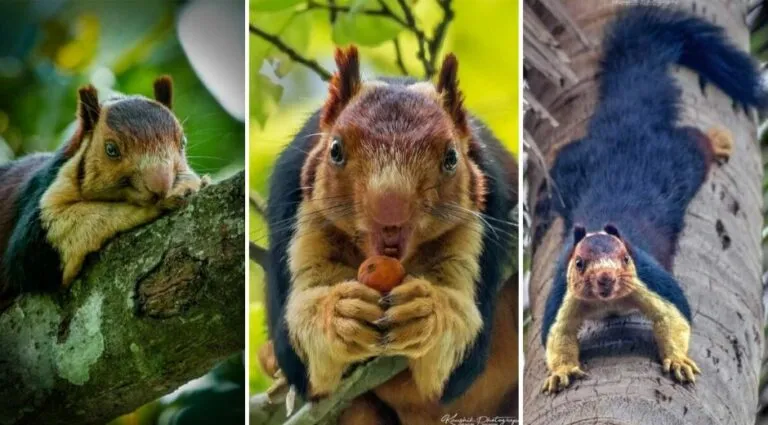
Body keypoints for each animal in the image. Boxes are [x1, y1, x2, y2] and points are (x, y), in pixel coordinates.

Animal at [0, 76, 207, 306]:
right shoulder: (40, 200)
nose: (160, 185)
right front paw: (169, 198)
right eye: (111, 149)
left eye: (183, 143)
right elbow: (29, 253)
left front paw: (190, 183)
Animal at [264, 46, 517, 421]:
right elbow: (303, 361)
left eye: (451, 157)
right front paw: (338, 314)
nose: (390, 208)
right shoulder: (295, 206)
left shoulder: (484, 221)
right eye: (335, 150)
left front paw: (425, 312)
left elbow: (457, 364)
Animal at [538, 5, 765, 393]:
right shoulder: (562, 293)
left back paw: (717, 140)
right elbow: (557, 336)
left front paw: (678, 362)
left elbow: (675, 316)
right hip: (570, 170)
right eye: (580, 263)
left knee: (693, 143)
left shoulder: (650, 277)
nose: (605, 280)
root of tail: (626, 131)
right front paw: (561, 371)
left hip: (679, 162)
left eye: (625, 259)